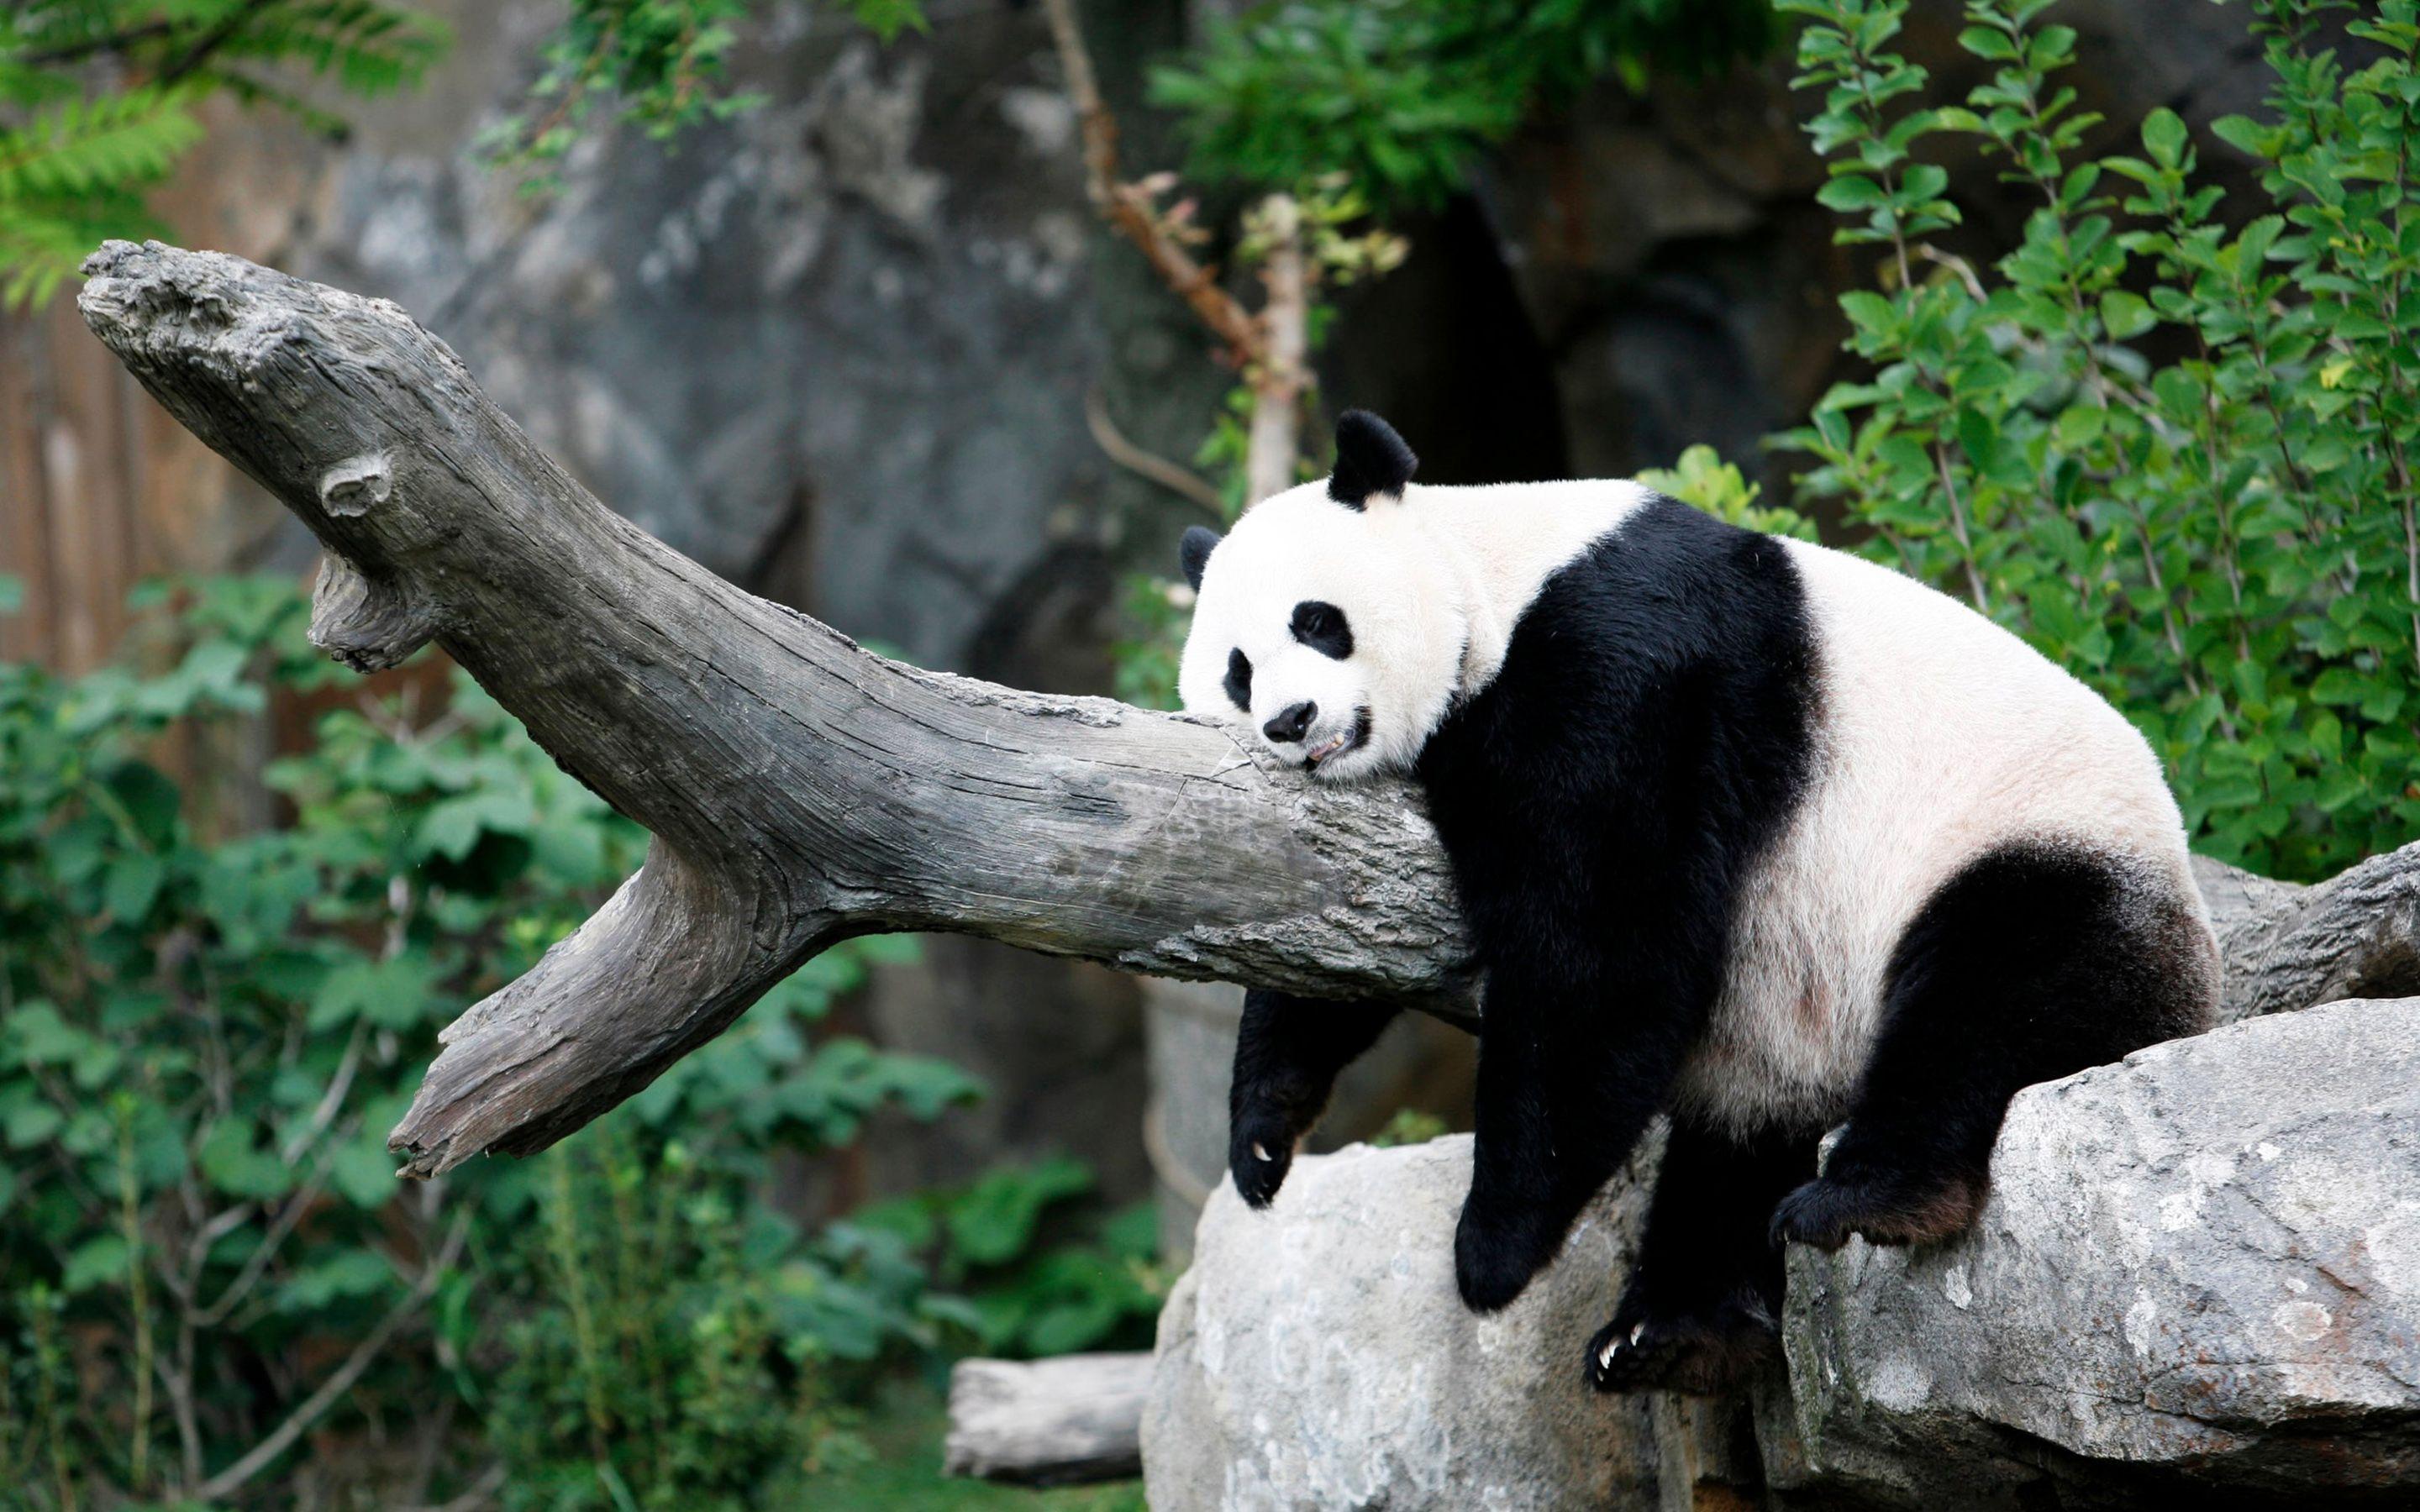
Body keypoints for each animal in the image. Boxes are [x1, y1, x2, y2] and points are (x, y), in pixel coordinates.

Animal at [1175, 410, 2219, 1395]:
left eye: (1317, 621)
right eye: (1237, 670)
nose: (1290, 722)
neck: (1494, 574)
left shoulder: (1624, 663)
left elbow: (1600, 945)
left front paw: (1492, 1250)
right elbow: (1331, 930)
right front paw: (1264, 1137)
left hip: (2033, 848)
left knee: (1993, 995)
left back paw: (1866, 1199)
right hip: (1787, 1034)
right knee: (1736, 1147)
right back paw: (1671, 1332)